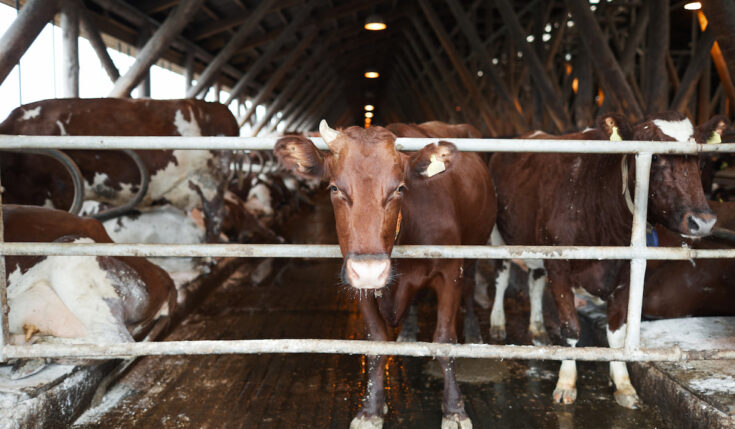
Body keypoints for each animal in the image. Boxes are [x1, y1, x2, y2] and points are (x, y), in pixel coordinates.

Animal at [274, 121, 495, 429]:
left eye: (399, 188)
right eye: (334, 188)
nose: (371, 269)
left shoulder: (450, 272)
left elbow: (444, 340)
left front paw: (454, 409)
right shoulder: (359, 280)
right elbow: (377, 341)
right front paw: (372, 408)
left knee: (472, 287)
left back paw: (474, 332)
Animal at [489, 111, 719, 409]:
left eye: (700, 160)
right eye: (655, 156)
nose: (703, 221)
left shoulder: (625, 275)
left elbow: (617, 335)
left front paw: (623, 384)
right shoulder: (560, 266)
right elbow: (571, 329)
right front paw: (566, 383)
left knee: (535, 280)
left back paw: (537, 328)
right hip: (499, 234)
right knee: (501, 275)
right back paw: (497, 324)